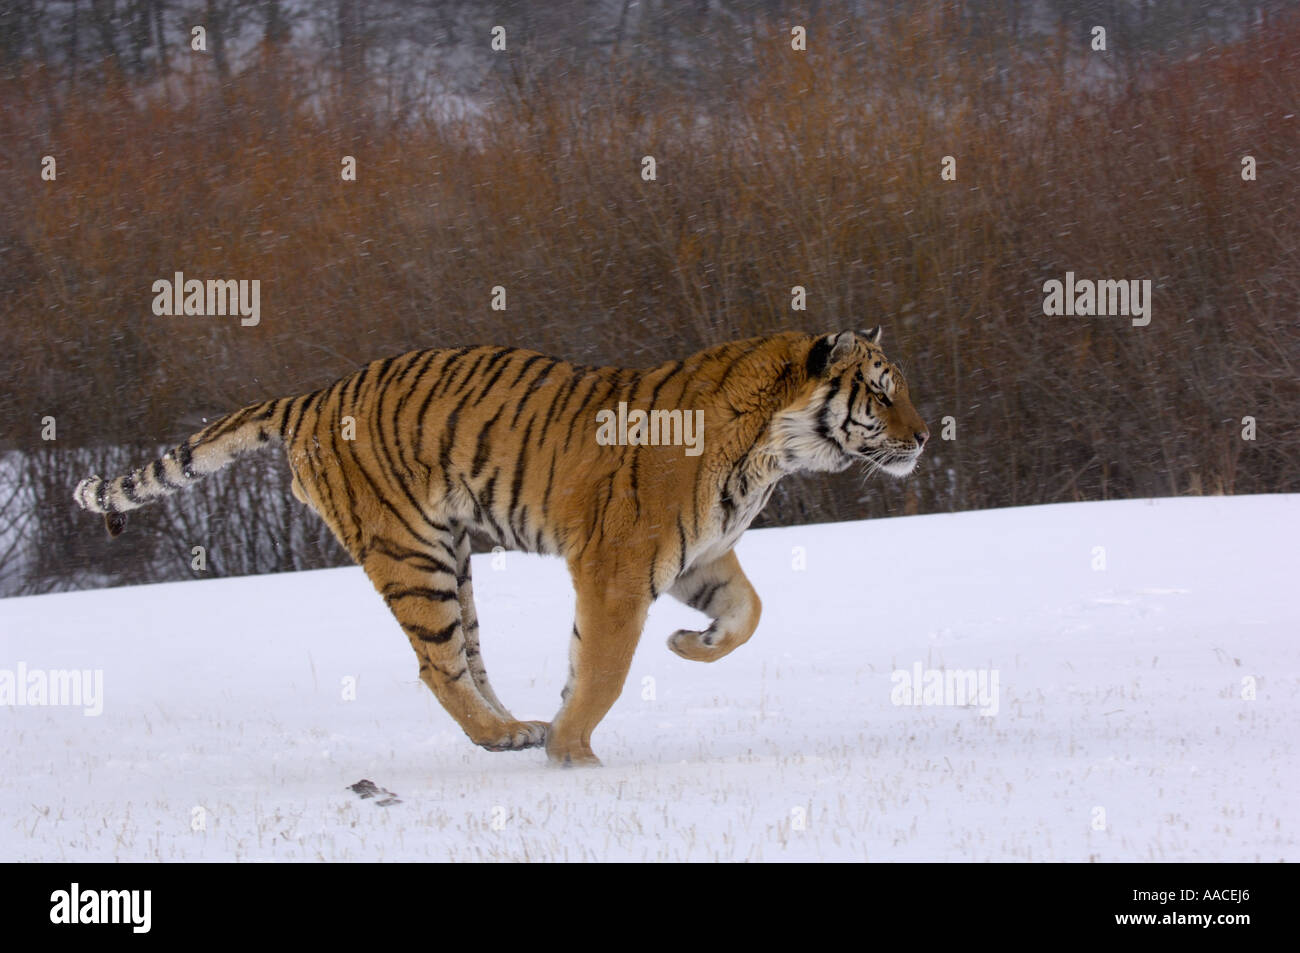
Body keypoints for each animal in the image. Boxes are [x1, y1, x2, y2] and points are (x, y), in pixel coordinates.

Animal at [74, 327, 928, 765]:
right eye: (882, 390)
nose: (924, 435)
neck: (770, 452)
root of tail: (311, 396)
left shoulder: (700, 554)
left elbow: (748, 612)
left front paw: (692, 644)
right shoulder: (617, 567)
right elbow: (604, 670)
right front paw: (576, 755)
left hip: (451, 554)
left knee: (467, 657)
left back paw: (516, 726)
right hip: (410, 552)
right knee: (437, 662)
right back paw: (505, 736)